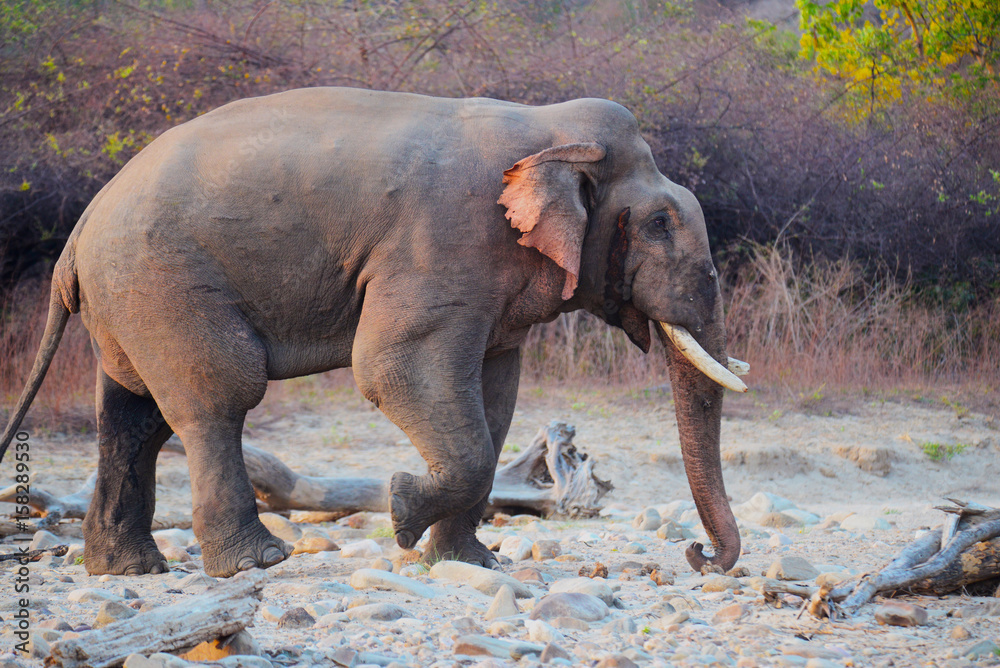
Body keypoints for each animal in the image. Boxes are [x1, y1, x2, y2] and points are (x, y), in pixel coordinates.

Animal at [0, 87, 748, 578]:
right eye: (660, 224)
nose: (700, 556)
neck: (548, 127)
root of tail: (78, 234)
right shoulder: (444, 241)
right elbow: (393, 367)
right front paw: (402, 510)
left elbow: (496, 393)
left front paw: (470, 562)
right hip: (165, 283)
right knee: (217, 396)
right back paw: (255, 562)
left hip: (129, 299)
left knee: (134, 416)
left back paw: (127, 570)